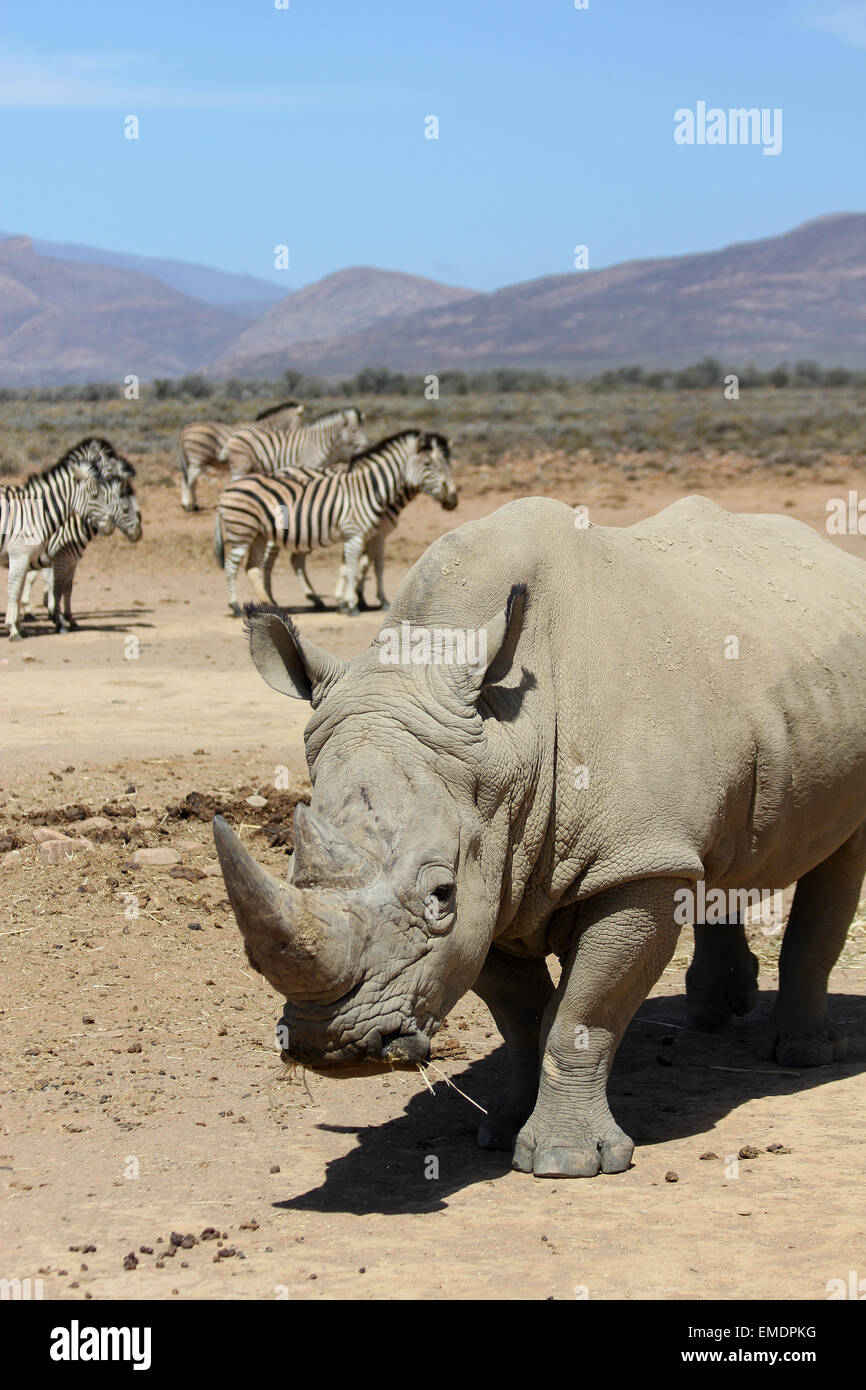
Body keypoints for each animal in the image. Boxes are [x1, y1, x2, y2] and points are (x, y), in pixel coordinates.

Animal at [1, 439, 138, 640]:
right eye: (110, 471)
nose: (138, 533)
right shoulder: (43, 556)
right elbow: (35, 587)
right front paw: (19, 626)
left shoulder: (55, 558)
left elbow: (63, 588)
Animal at [213, 430, 457, 616]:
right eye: (429, 464)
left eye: (448, 463)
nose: (454, 499)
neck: (369, 489)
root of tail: (225, 491)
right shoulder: (365, 534)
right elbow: (365, 566)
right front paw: (361, 602)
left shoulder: (362, 535)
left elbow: (354, 566)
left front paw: (352, 599)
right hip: (245, 532)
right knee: (240, 565)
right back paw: (238, 605)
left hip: (260, 534)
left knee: (257, 566)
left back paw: (274, 602)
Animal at [214, 496, 866, 1178]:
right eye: (292, 871)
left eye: (440, 896)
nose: (331, 1044)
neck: (510, 742)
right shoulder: (496, 870)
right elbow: (521, 1015)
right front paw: (500, 1132)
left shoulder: (632, 861)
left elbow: (584, 1010)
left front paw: (567, 1161)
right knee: (717, 855)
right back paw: (714, 1013)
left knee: (840, 858)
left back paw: (803, 1055)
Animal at [216, 408, 367, 482]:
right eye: (354, 430)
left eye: (363, 429)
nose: (366, 446)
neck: (322, 442)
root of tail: (233, 436)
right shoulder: (308, 464)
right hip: (240, 467)